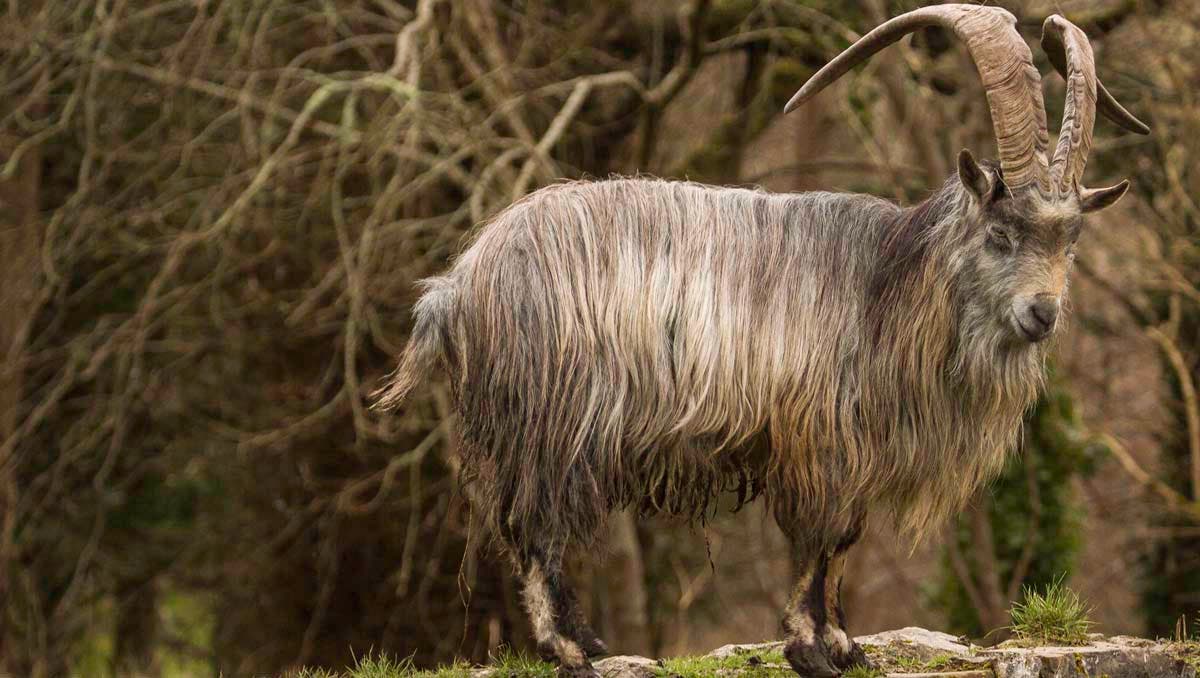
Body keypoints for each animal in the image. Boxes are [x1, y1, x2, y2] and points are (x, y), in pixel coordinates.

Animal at [374, 5, 1148, 676]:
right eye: (1001, 232)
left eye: (1071, 241)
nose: (1043, 314)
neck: (887, 285)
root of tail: (457, 285)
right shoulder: (816, 442)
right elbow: (817, 543)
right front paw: (810, 649)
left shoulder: (851, 454)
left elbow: (843, 546)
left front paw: (845, 645)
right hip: (548, 423)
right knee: (535, 531)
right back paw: (570, 651)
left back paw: (587, 642)